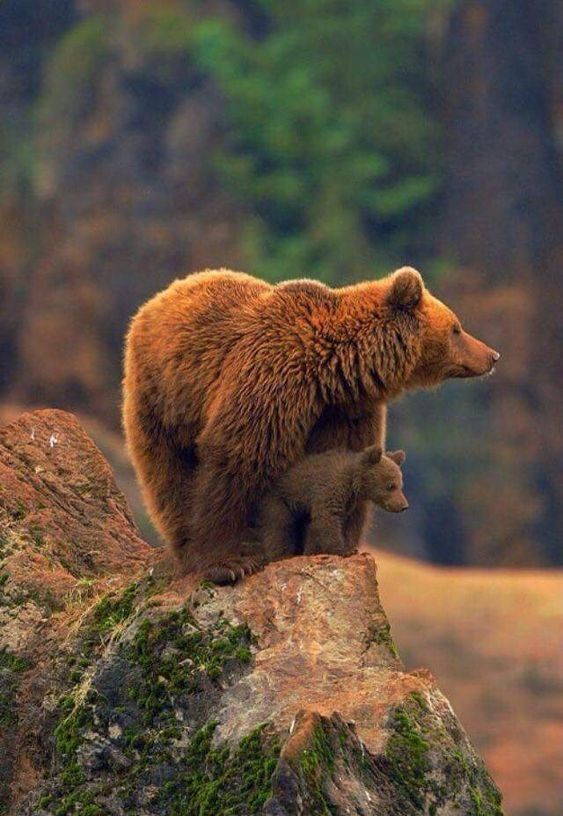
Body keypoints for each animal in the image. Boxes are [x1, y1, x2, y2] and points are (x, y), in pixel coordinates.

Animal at [254, 446, 408, 568]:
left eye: (401, 485)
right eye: (391, 485)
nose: (404, 506)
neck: (353, 483)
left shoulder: (347, 503)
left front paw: (315, 551)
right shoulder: (331, 489)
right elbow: (328, 518)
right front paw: (344, 550)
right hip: (282, 500)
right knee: (278, 526)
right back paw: (280, 555)